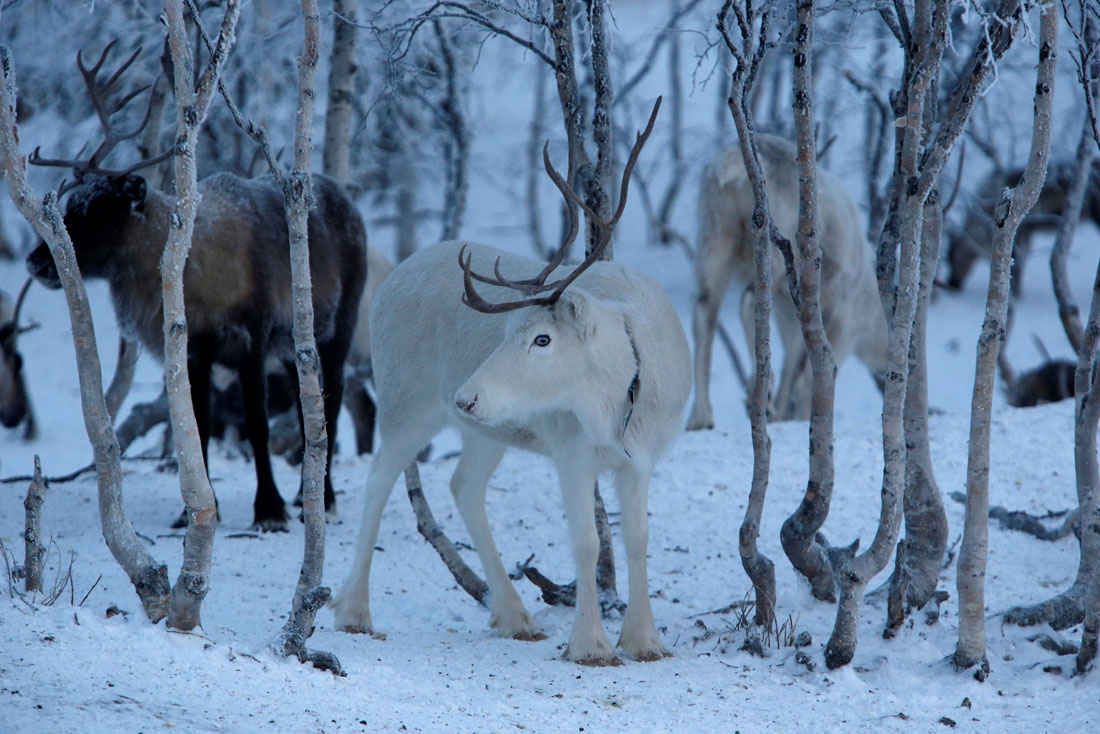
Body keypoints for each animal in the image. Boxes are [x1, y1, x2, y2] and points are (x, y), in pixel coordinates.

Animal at [24, 42, 366, 532]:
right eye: (70, 203)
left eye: (97, 210)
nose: (35, 261)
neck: (195, 278)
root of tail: (349, 200)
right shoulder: (196, 351)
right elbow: (199, 426)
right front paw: (197, 512)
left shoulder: (254, 337)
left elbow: (257, 424)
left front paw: (269, 509)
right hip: (293, 347)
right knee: (308, 412)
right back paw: (307, 494)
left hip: (339, 325)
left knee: (330, 408)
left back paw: (319, 500)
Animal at [331, 101, 691, 666]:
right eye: (508, 333)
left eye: (542, 339)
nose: (465, 395)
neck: (620, 399)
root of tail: (388, 280)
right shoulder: (572, 450)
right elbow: (587, 542)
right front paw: (590, 645)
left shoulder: (642, 458)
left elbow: (637, 538)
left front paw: (645, 641)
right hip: (406, 401)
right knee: (379, 477)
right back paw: (353, 611)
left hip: (485, 429)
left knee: (463, 486)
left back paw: (513, 614)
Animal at [687, 134, 888, 427]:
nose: (886, 370)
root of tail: (732, 165)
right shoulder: (840, 320)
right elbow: (807, 375)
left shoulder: (792, 317)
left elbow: (792, 366)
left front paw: (782, 415)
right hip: (774, 245)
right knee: (749, 301)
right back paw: (760, 394)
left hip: (714, 237)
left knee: (704, 313)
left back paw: (701, 417)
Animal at [945, 159, 1100, 295]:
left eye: (951, 258)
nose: (951, 284)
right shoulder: (1027, 231)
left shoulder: (1023, 230)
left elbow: (1019, 264)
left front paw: (1017, 293)